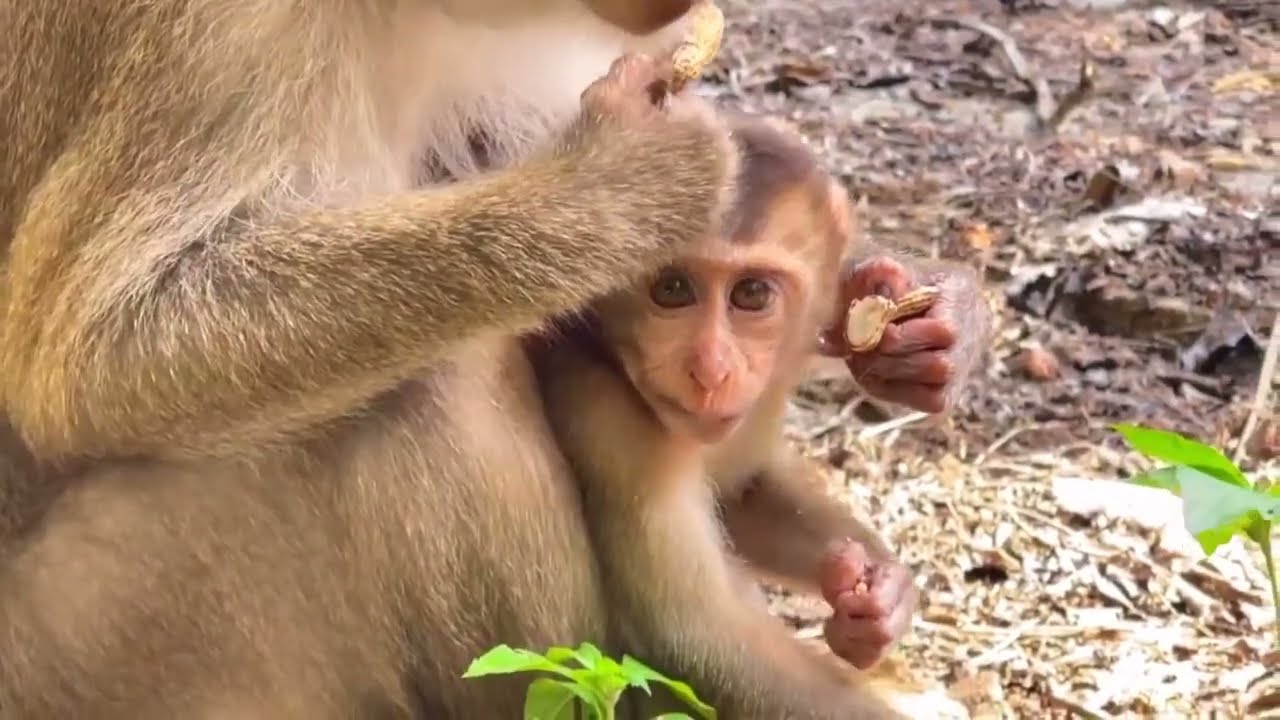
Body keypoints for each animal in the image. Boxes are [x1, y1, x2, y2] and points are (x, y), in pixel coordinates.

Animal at [528, 114, 927, 719]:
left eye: (752, 293)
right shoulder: (609, 421)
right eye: (672, 289)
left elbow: (743, 492)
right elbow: (694, 634)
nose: (711, 370)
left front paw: (882, 598)